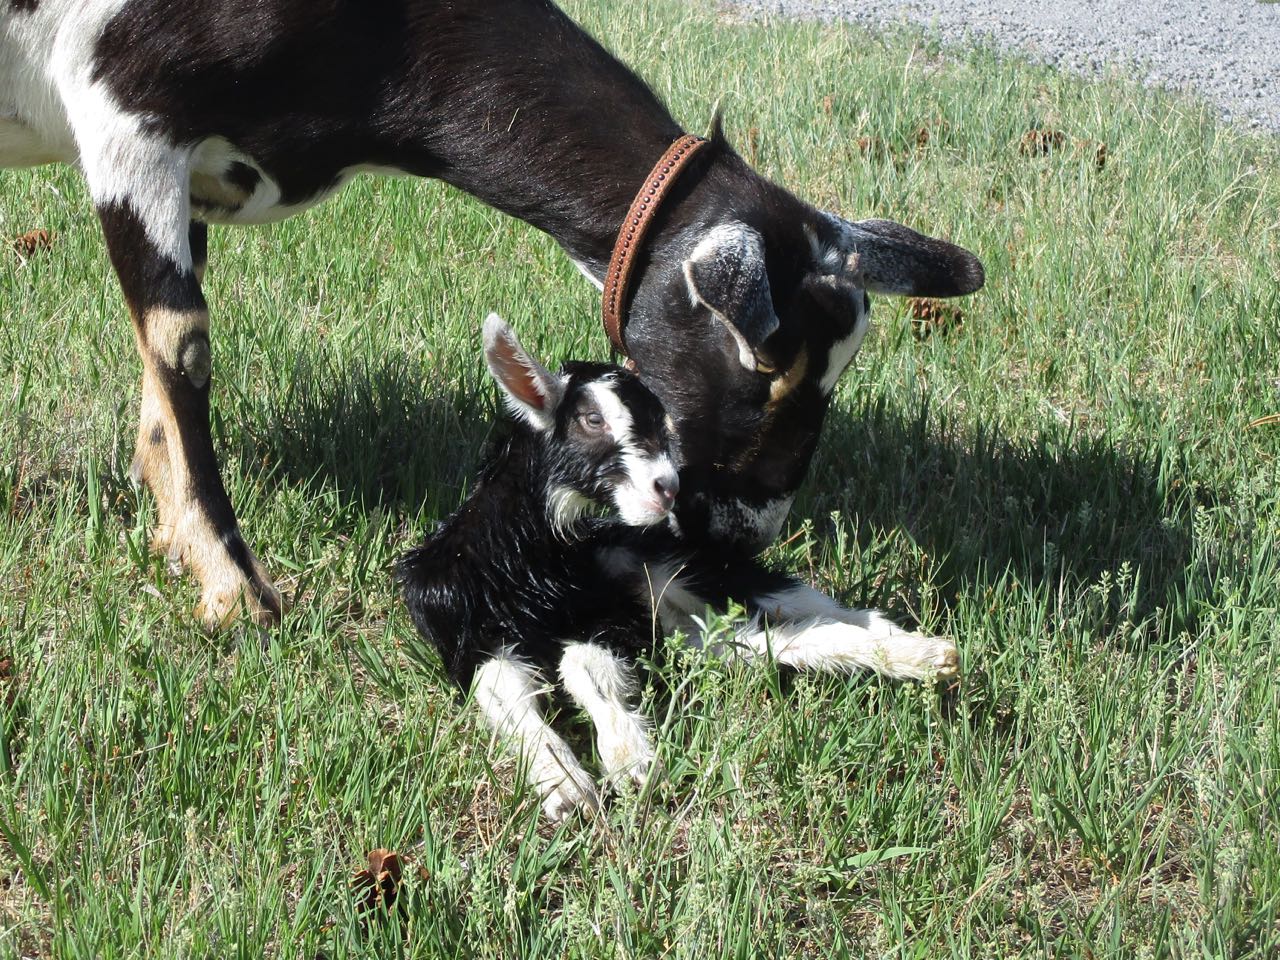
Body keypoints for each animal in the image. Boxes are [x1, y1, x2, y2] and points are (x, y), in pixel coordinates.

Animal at [2, 0, 983, 628]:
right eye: (764, 370)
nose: (749, 533)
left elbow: (158, 363)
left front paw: (169, 527)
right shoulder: (128, 116)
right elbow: (184, 346)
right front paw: (235, 591)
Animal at [399, 316, 958, 820]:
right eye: (592, 419)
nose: (669, 488)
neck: (530, 571)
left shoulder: (610, 620)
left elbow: (582, 664)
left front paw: (630, 760)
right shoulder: (470, 640)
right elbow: (504, 698)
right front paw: (564, 785)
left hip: (689, 571)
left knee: (814, 609)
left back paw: (924, 652)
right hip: (688, 629)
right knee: (775, 641)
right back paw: (922, 659)